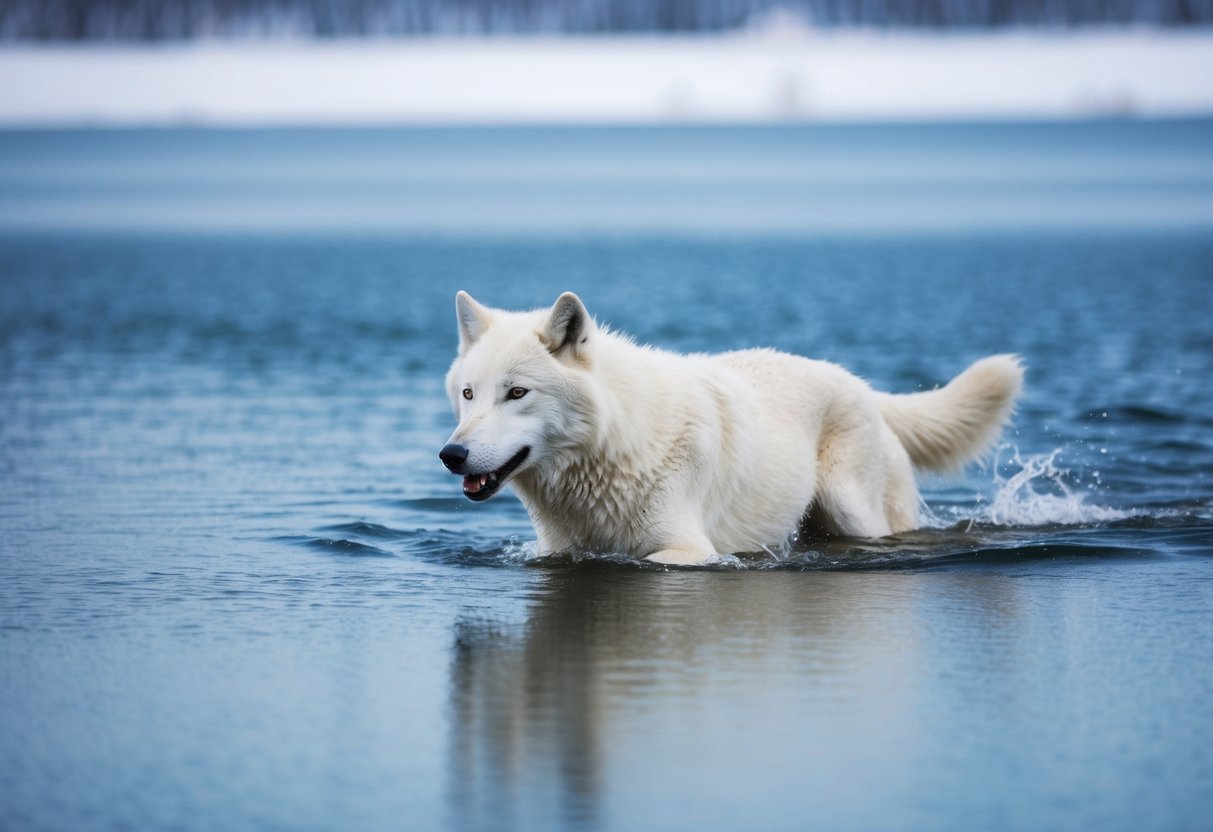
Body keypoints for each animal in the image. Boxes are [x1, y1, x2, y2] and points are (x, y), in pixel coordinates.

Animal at [440, 291, 1023, 565]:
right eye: (468, 395)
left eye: (517, 393)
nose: (451, 455)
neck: (616, 444)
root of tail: (862, 385)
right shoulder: (557, 551)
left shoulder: (690, 552)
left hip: (852, 511)